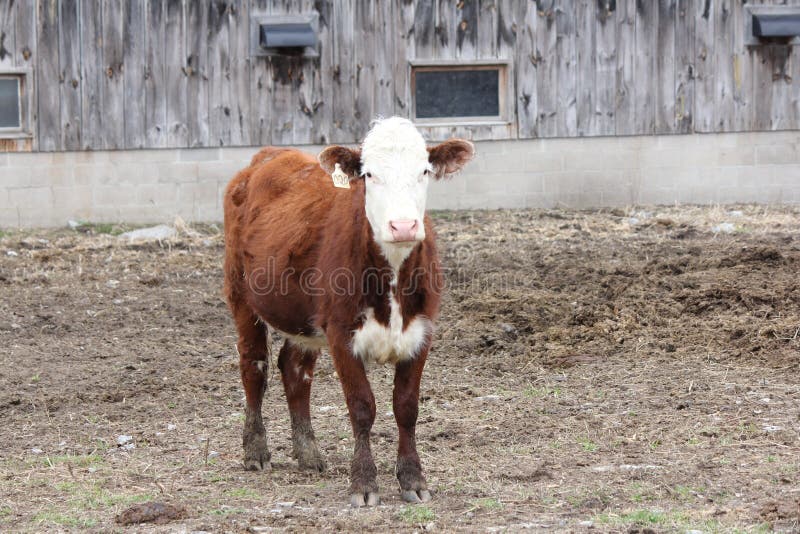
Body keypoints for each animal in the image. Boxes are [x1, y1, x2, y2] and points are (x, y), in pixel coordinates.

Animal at [223, 117, 474, 507]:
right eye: (369, 174)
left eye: (424, 171)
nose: (403, 226)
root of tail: (268, 155)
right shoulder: (341, 334)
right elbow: (362, 407)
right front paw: (364, 484)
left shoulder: (422, 333)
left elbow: (407, 407)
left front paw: (413, 480)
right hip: (241, 296)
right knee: (254, 367)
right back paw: (255, 450)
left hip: (305, 320)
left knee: (294, 372)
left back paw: (308, 453)